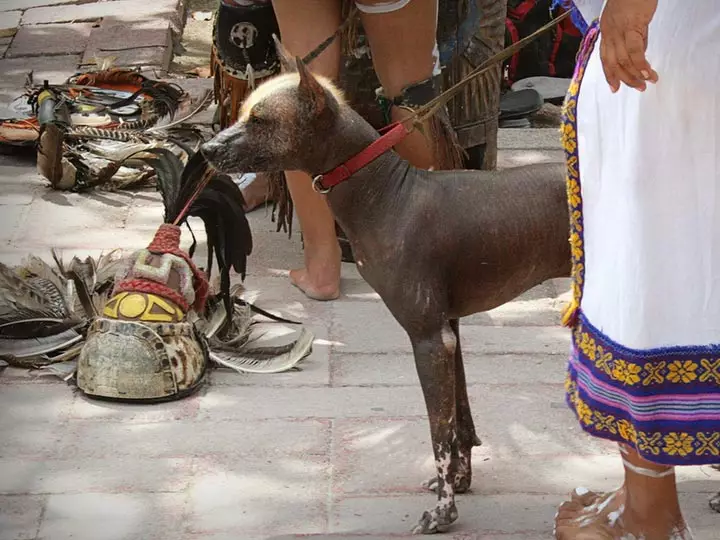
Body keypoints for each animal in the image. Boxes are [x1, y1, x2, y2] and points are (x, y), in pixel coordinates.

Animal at [200, 47, 572, 536]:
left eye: (260, 120)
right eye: (243, 112)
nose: (205, 149)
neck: (387, 192)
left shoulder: (430, 339)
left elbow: (438, 432)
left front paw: (443, 513)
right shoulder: (450, 331)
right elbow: (460, 418)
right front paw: (460, 481)